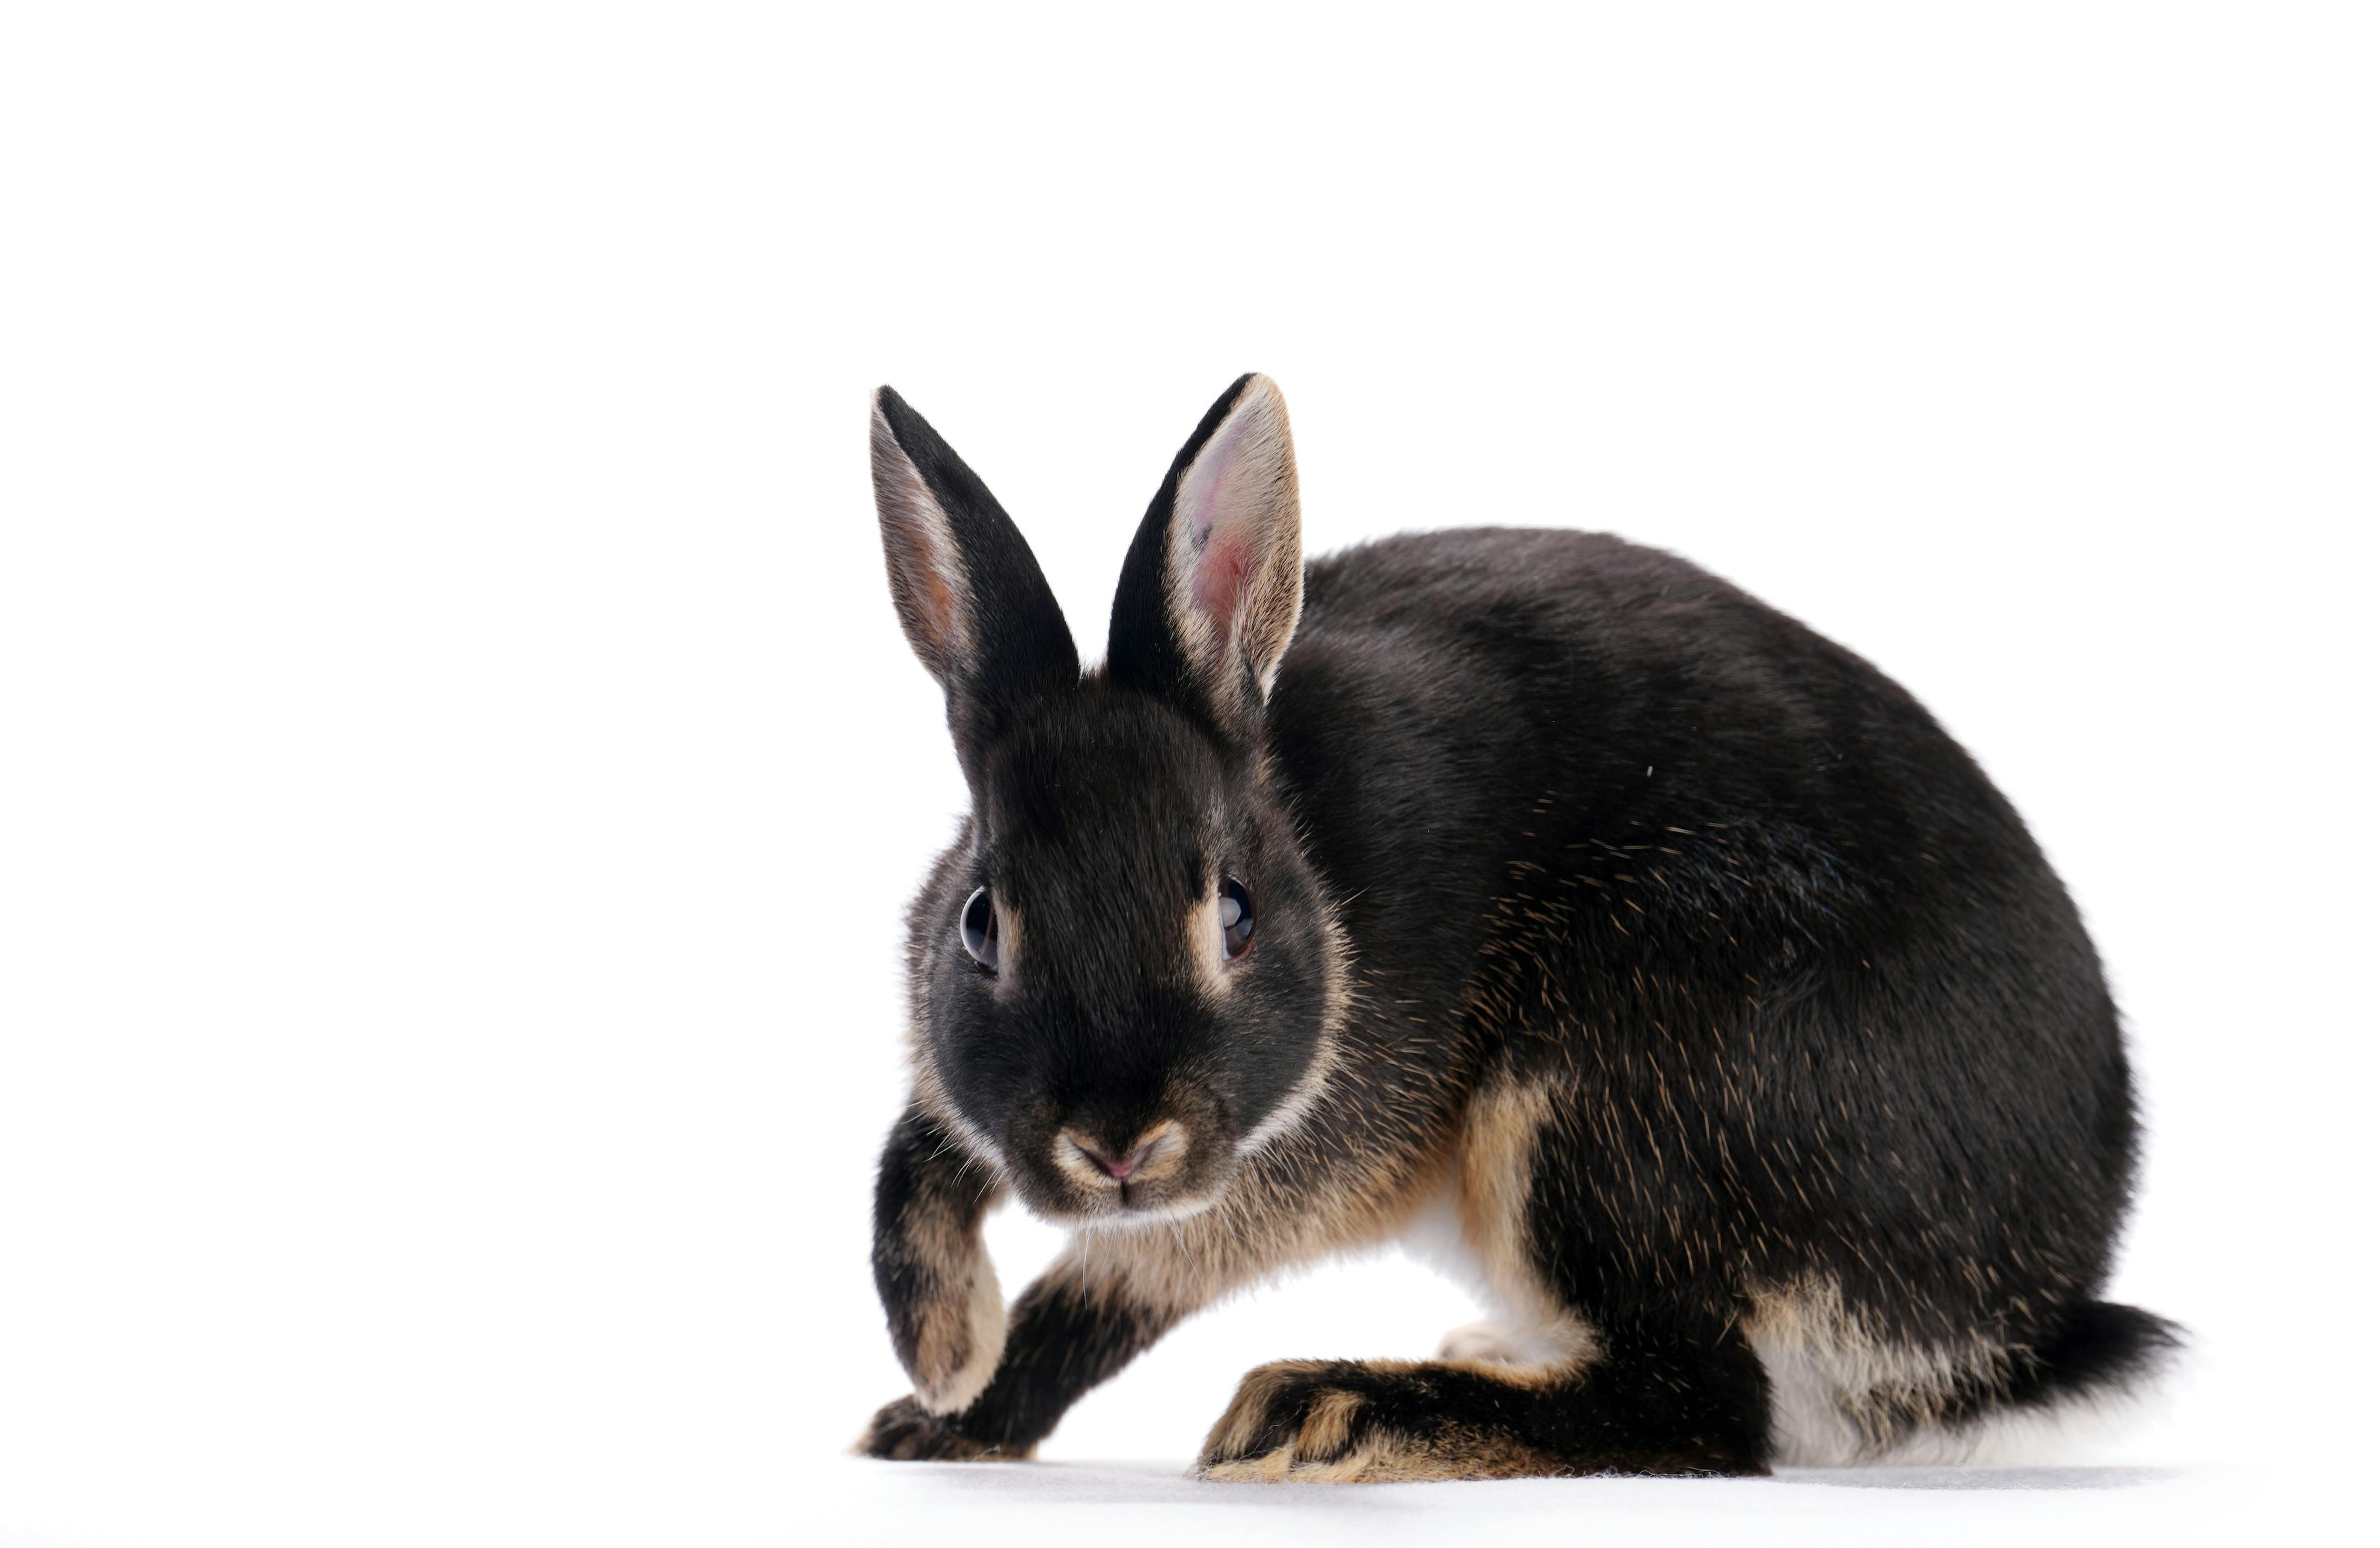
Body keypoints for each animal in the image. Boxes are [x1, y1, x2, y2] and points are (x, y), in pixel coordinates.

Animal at [853, 373, 2177, 1480]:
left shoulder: (1276, 1174)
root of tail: (2026, 1310)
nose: (1119, 1141)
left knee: (1698, 1404)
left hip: (1598, 1106)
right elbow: (915, 1159)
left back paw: (1330, 1406)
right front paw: (937, 1362)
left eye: (1234, 912)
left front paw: (958, 1398)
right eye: (980, 920)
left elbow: (1112, 1286)